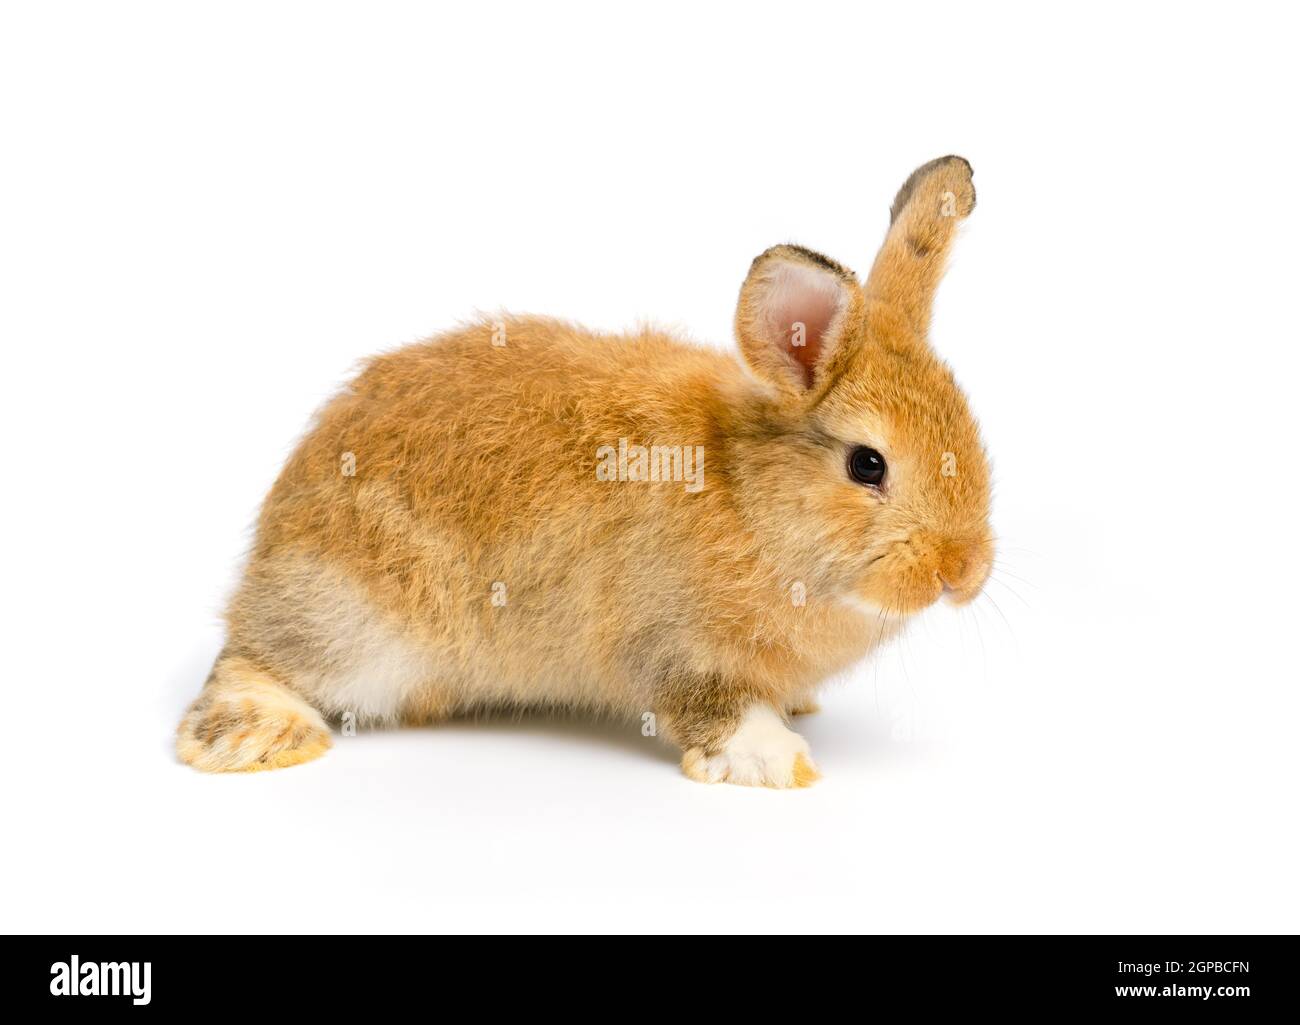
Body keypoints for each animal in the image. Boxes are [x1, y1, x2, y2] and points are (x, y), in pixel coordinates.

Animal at [177, 154, 993, 787]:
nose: (963, 571)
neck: (752, 500)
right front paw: (776, 759)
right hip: (352, 620)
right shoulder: (674, 644)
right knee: (254, 658)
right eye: (867, 464)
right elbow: (711, 707)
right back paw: (255, 736)